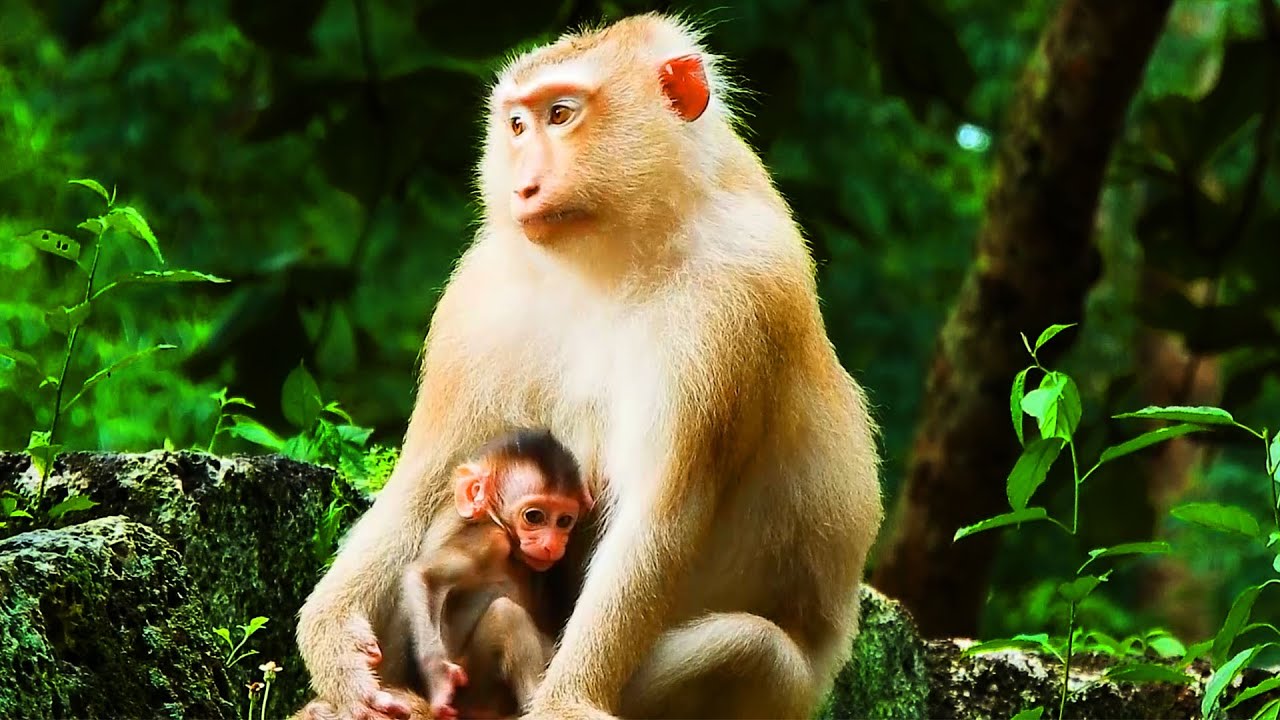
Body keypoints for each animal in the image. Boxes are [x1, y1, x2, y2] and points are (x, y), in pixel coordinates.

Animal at [403, 428, 594, 720]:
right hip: (476, 691)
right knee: (506, 614)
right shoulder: (490, 540)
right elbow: (424, 577)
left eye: (564, 521)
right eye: (534, 516)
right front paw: (439, 677)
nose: (552, 544)